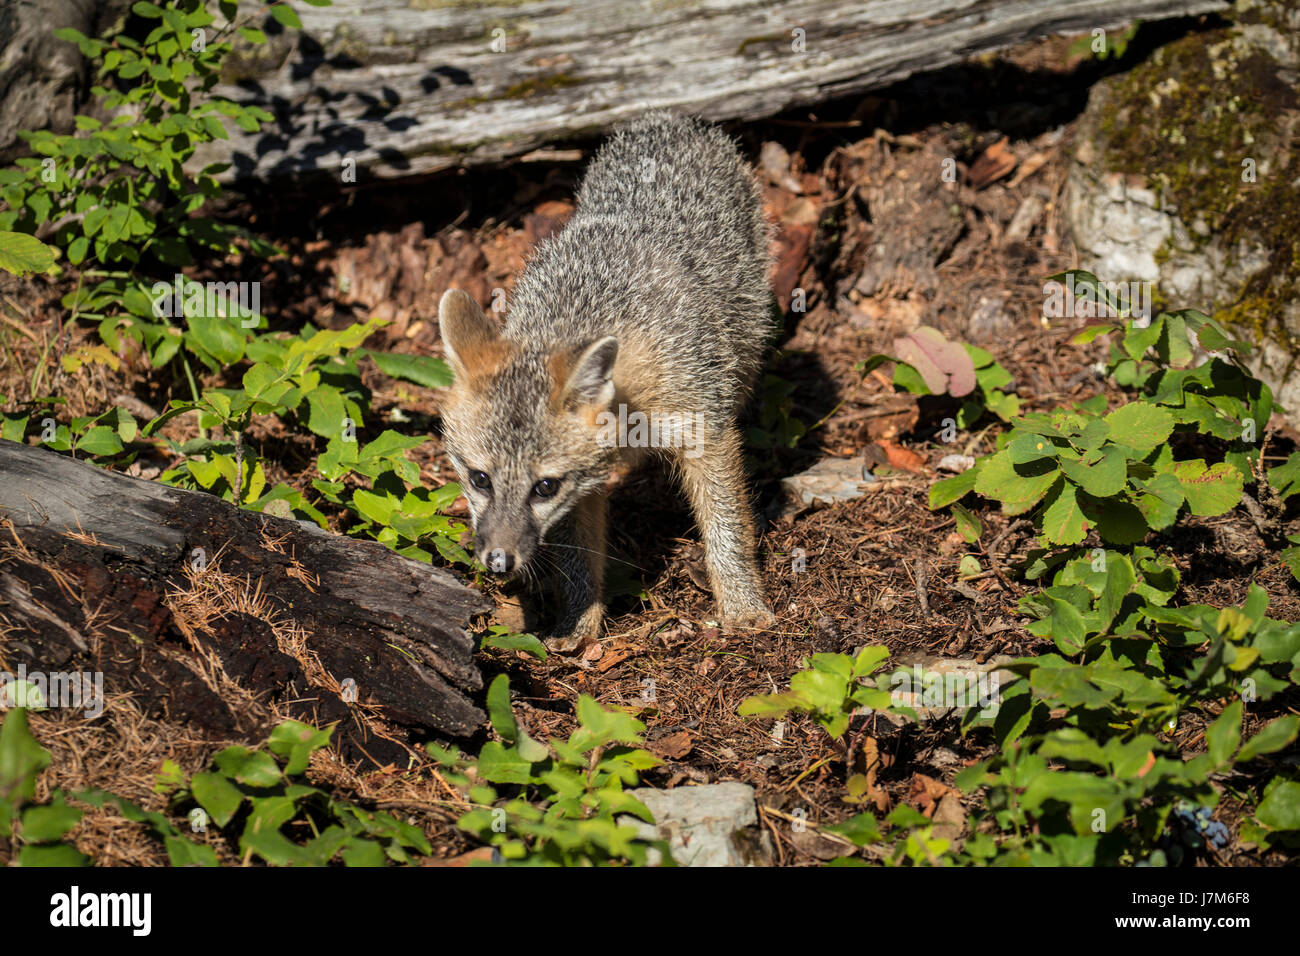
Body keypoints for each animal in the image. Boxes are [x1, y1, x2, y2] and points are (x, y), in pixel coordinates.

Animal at [436, 111, 775, 645]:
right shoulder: (586, 486)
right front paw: (578, 623)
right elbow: (576, 558)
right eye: (479, 478)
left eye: (544, 487)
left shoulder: (705, 427)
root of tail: (667, 119)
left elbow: (727, 529)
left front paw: (742, 605)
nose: (498, 561)